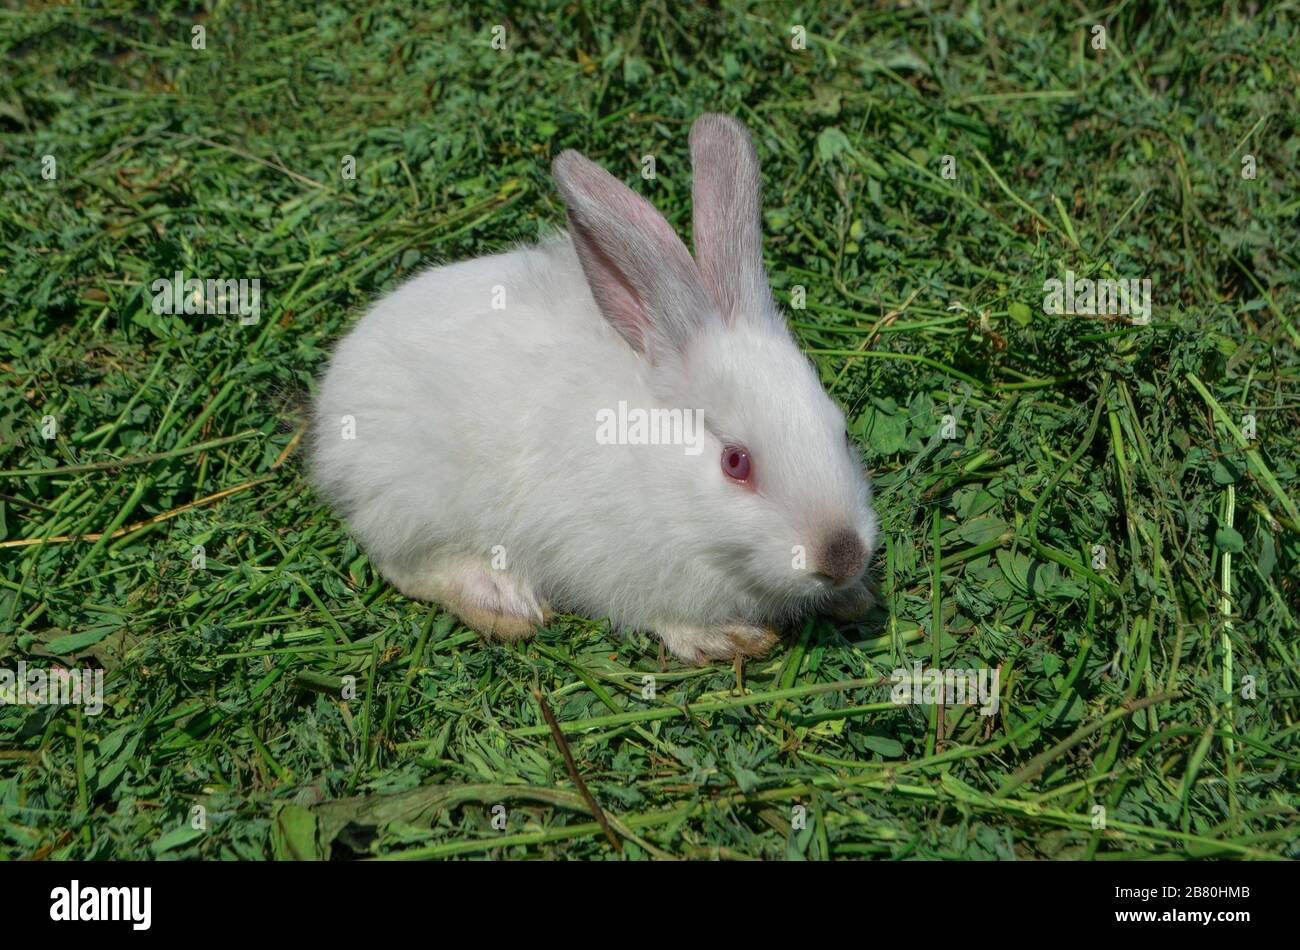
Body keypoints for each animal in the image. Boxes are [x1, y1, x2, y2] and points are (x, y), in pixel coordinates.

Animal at [309, 114, 879, 665]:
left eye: (843, 433)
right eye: (735, 463)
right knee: (405, 566)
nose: (842, 557)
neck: (659, 476)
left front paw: (854, 598)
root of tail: (338, 391)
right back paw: (503, 600)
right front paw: (726, 639)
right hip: (414, 501)